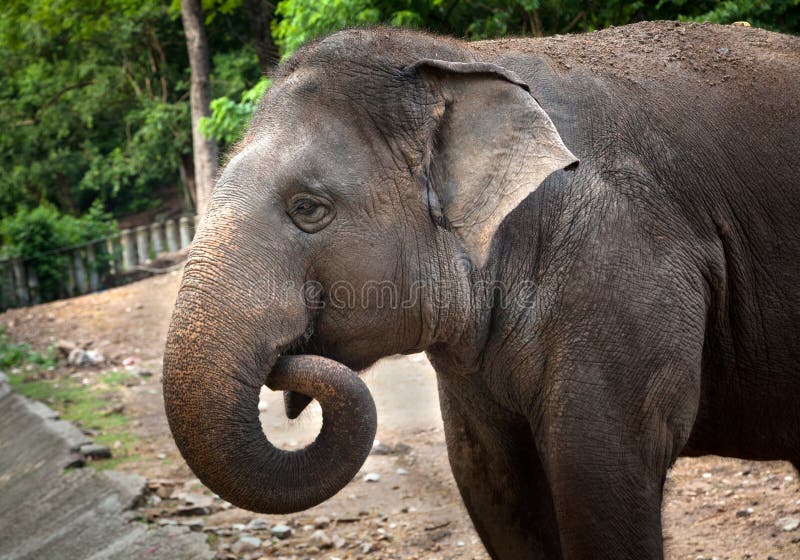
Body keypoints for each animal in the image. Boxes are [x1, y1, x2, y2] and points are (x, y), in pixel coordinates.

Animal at [163, 20, 800, 559]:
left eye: (308, 209)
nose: (287, 362)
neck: (460, 56)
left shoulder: (624, 272)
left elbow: (600, 479)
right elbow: (492, 482)